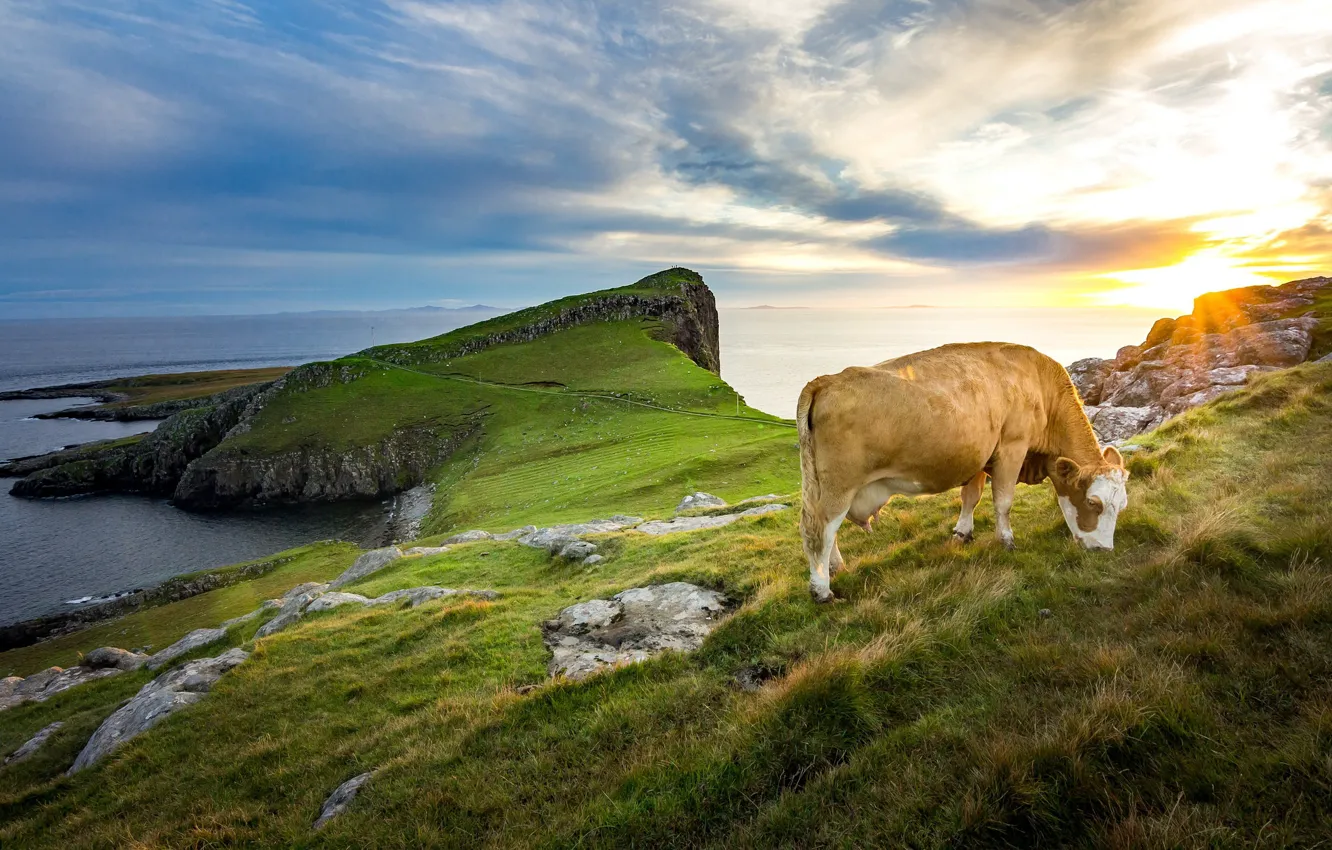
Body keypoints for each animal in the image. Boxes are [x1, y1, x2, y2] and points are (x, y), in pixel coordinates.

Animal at [796, 342, 1128, 602]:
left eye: (1121, 504)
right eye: (1093, 503)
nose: (1105, 550)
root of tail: (824, 381)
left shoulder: (981, 455)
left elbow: (971, 497)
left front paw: (962, 533)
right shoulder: (1012, 447)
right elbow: (1003, 502)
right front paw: (1006, 540)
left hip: (824, 487)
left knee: (828, 530)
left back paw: (835, 568)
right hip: (838, 485)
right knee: (819, 529)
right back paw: (822, 590)